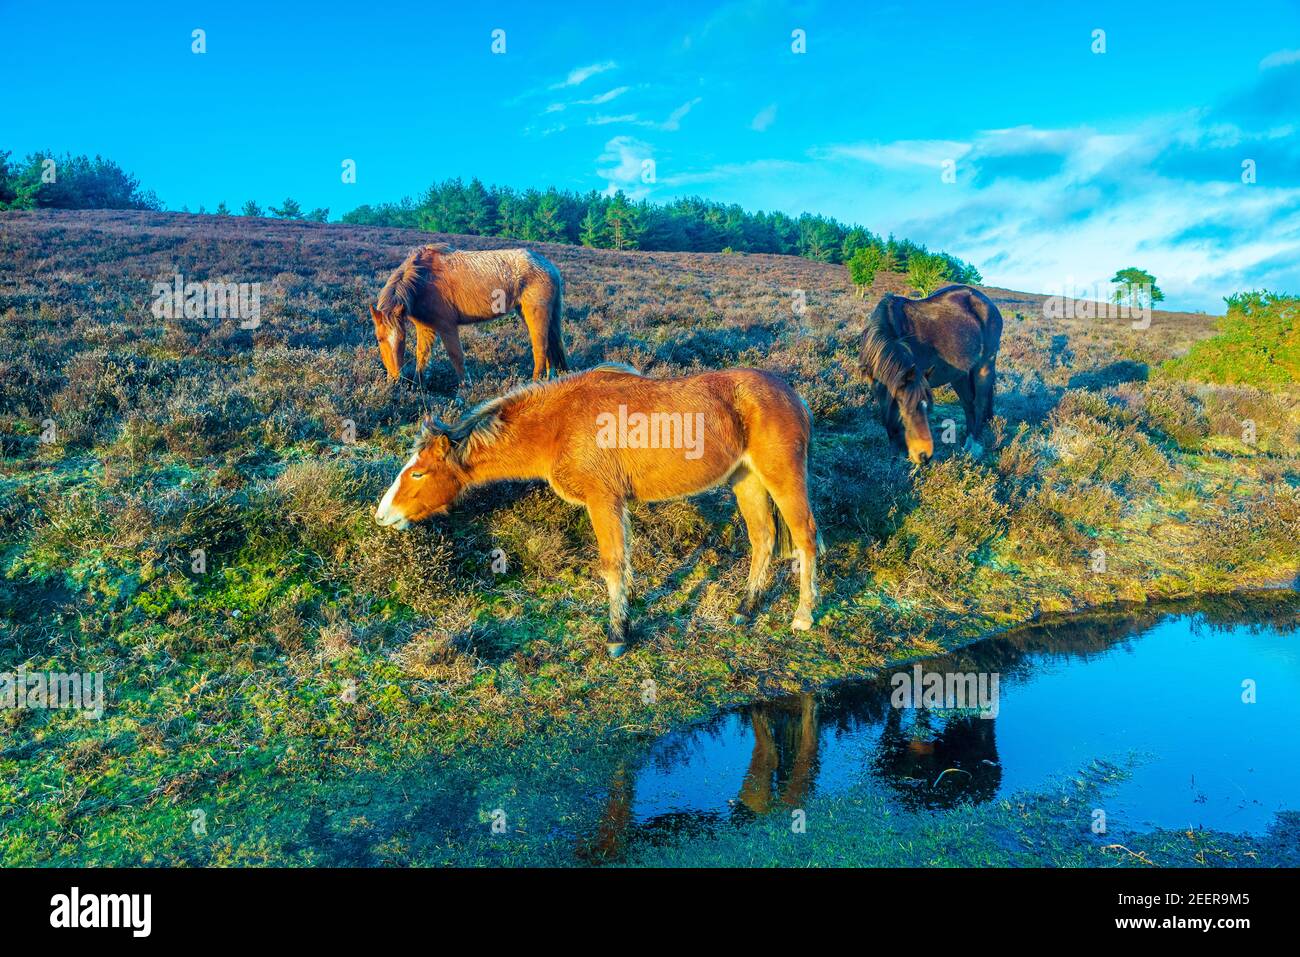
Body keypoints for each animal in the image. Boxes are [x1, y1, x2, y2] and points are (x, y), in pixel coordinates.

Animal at [369, 243, 568, 389]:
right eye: (379, 339)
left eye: (401, 339)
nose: (396, 379)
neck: (422, 279)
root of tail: (549, 267)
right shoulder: (425, 327)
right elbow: (422, 355)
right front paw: (418, 385)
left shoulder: (446, 326)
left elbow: (456, 356)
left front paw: (464, 390)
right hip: (529, 315)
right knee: (548, 347)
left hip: (535, 314)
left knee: (540, 348)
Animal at [373, 364, 821, 657]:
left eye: (418, 472)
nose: (382, 516)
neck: (559, 424)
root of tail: (794, 396)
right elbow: (624, 563)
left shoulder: (603, 500)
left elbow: (612, 563)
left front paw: (617, 634)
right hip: (746, 480)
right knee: (763, 538)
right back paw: (745, 609)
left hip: (782, 478)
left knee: (805, 535)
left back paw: (803, 616)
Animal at [858, 284, 1003, 464]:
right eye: (905, 410)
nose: (924, 455)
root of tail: (988, 303)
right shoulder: (879, 386)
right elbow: (887, 415)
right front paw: (894, 456)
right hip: (960, 375)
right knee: (968, 404)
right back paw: (967, 446)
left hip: (984, 366)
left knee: (979, 404)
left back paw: (974, 448)